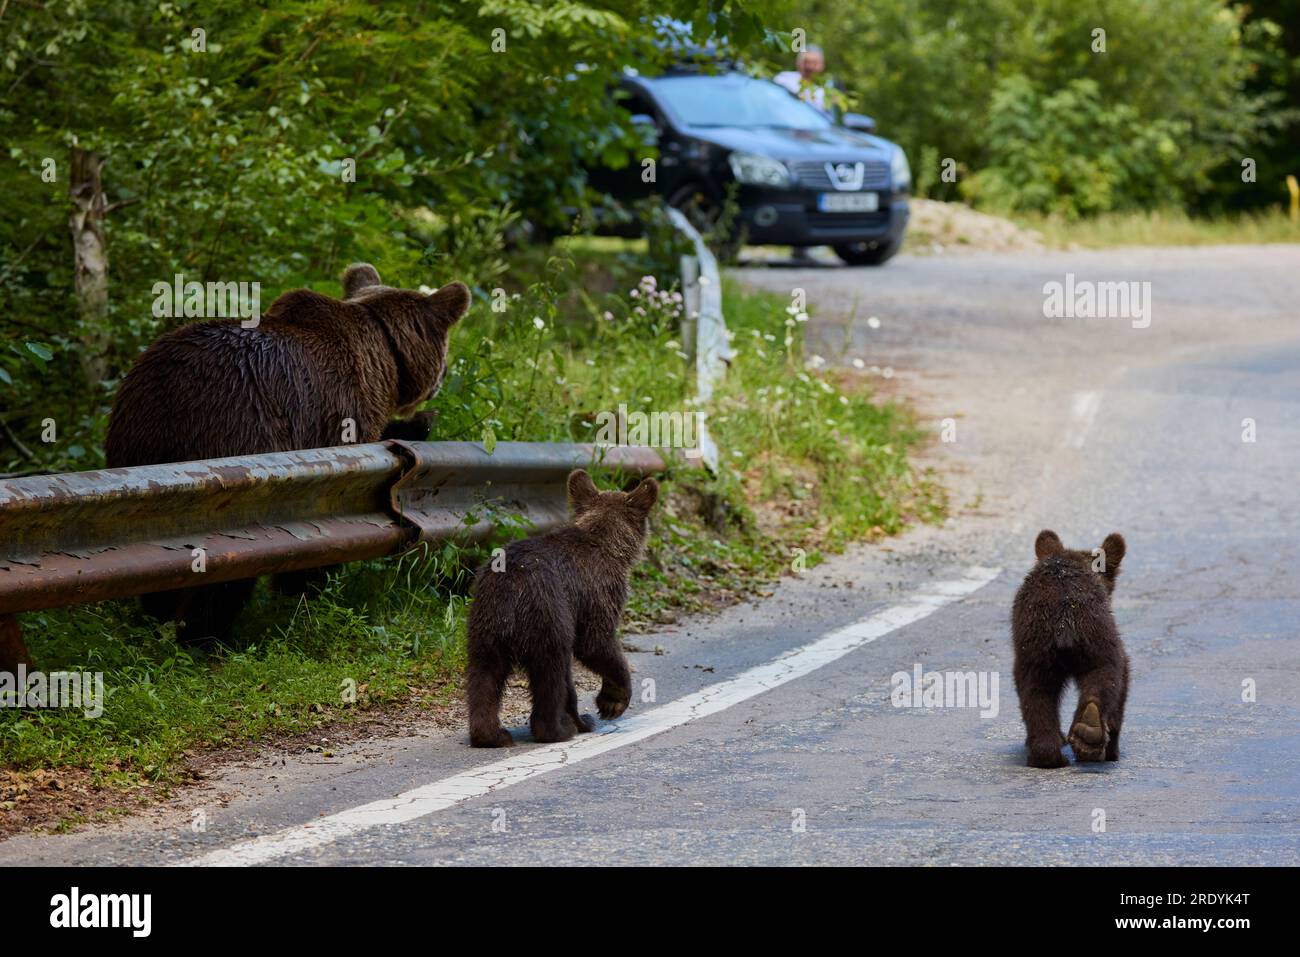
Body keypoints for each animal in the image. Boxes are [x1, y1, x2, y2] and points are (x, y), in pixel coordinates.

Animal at [104, 263, 471, 643]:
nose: (444, 376)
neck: (385, 359)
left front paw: (419, 423)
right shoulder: (340, 417)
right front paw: (306, 595)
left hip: (136, 436)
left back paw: (156, 617)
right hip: (234, 436)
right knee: (226, 570)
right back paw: (207, 637)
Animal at [465, 469, 659, 747]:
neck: (607, 544)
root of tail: (510, 584)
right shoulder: (597, 592)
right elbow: (596, 642)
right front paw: (612, 701)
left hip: (485, 623)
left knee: (484, 674)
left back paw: (492, 735)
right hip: (547, 613)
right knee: (551, 672)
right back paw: (556, 729)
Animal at [1011, 529, 1130, 768]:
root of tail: (1064, 616)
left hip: (1036, 649)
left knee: (1035, 691)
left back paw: (1055, 749)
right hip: (1097, 637)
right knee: (1108, 674)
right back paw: (1093, 739)